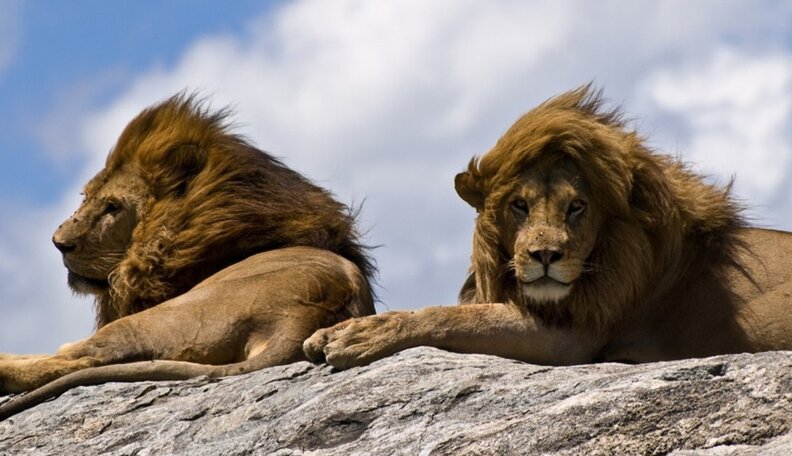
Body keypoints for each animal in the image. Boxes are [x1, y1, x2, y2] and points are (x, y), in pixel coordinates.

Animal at [0, 94, 375, 420]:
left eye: (113, 207)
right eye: (86, 197)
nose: (58, 243)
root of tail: (301, 321)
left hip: (160, 318)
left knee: (84, 357)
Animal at [304, 85, 792, 369]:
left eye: (577, 207)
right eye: (519, 205)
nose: (545, 256)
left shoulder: (574, 335)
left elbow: (453, 316)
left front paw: (360, 335)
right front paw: (331, 331)